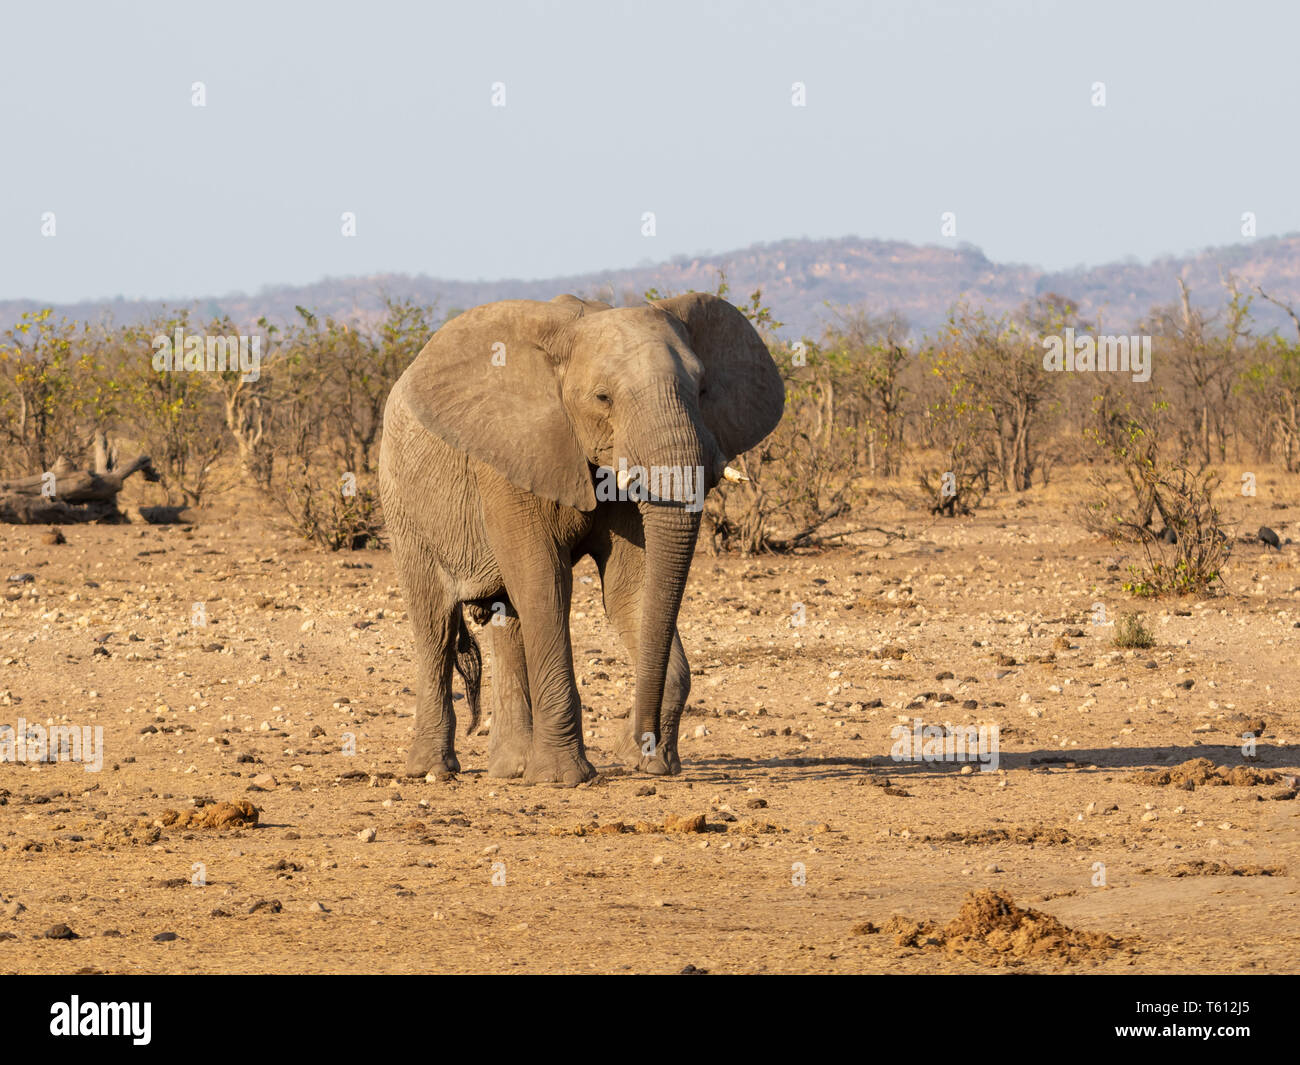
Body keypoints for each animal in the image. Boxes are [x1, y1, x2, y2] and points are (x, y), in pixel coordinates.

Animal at [378, 292, 784, 784]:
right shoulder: (508, 458)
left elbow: (633, 587)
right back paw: (433, 770)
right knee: (434, 622)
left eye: (704, 390)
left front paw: (649, 763)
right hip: (401, 496)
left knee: (508, 616)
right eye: (603, 397)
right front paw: (564, 778)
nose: (642, 749)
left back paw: (513, 768)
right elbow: (545, 581)